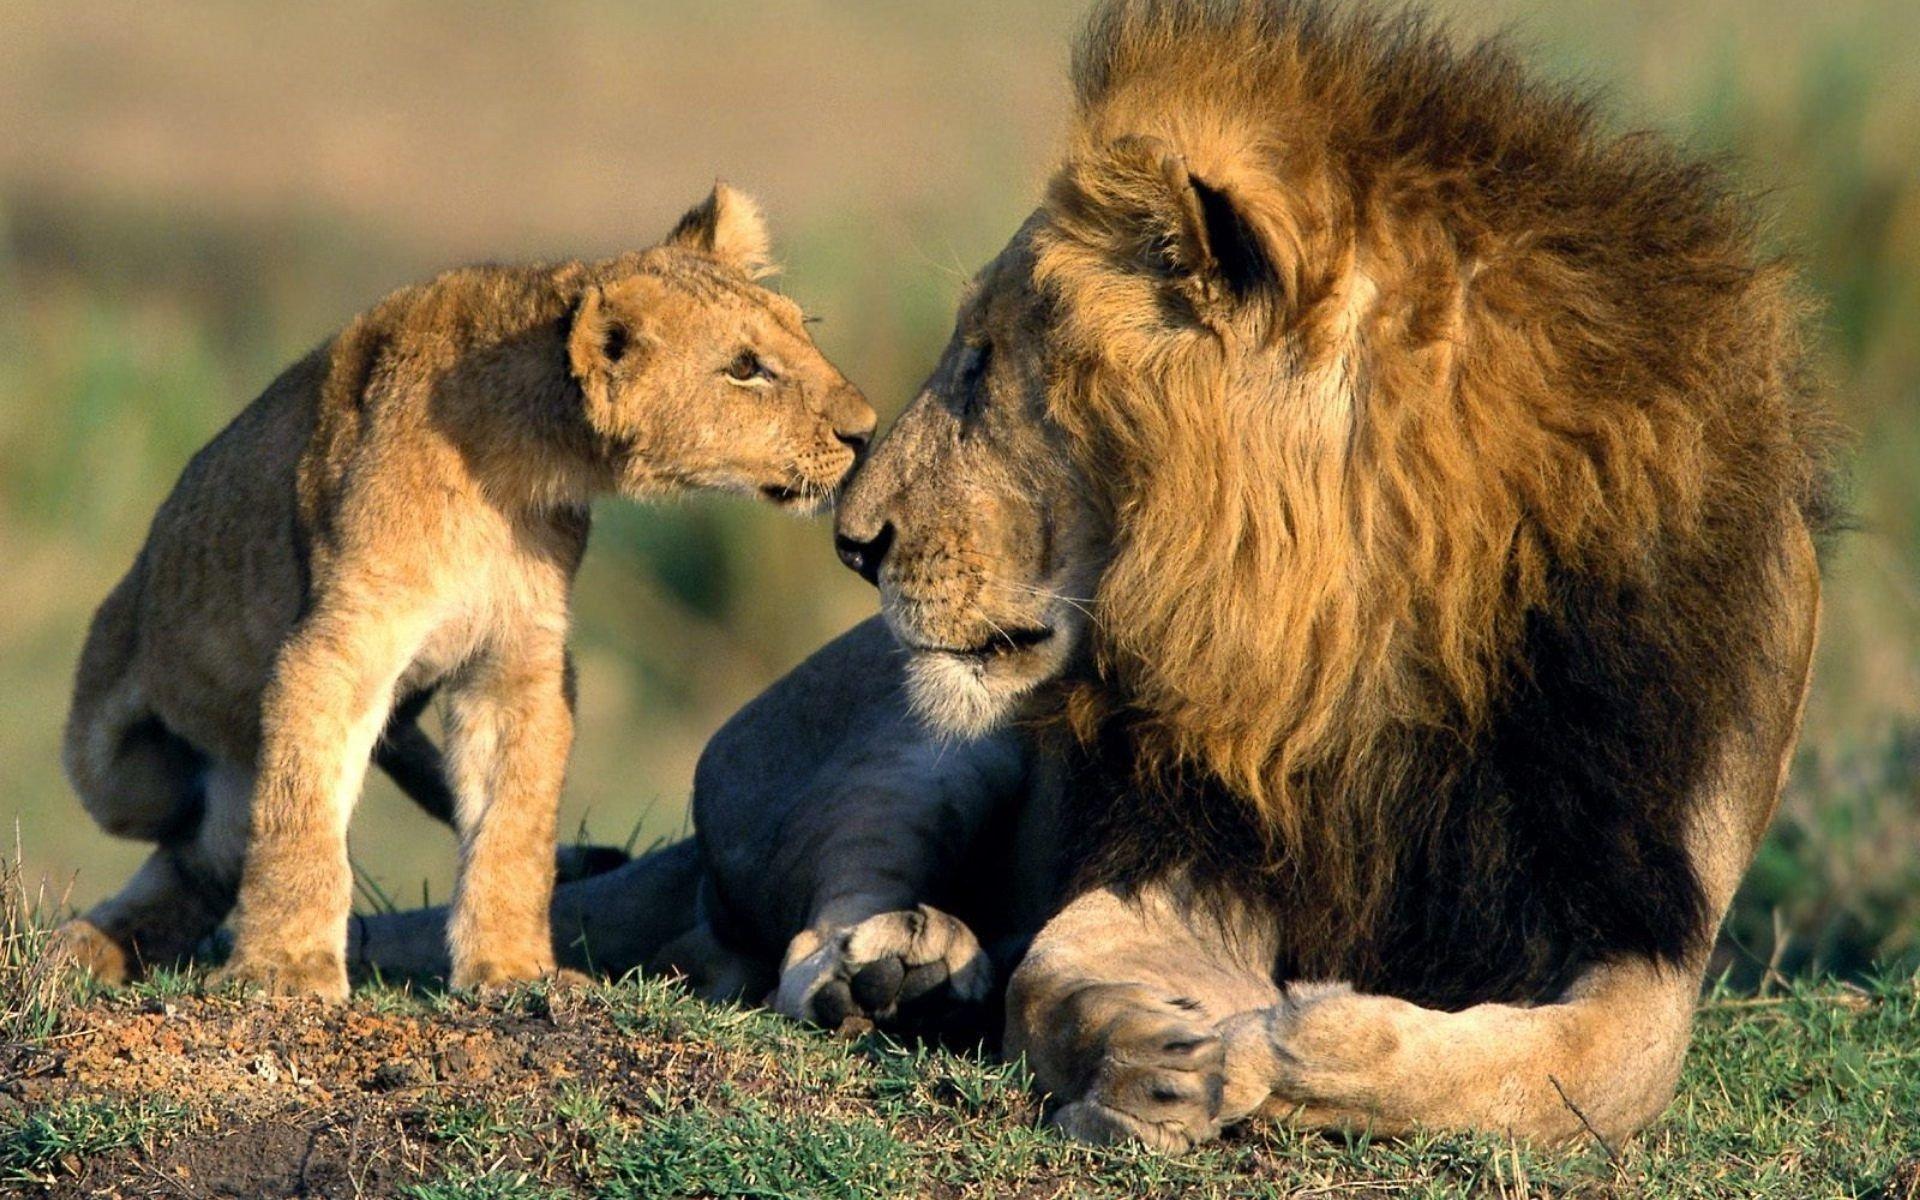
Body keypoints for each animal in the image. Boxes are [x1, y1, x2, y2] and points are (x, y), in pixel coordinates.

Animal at [52, 184, 876, 1001]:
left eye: (803, 332)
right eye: (745, 368)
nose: (866, 432)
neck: (517, 466)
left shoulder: (518, 662)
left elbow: (513, 825)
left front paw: (511, 968)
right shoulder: (336, 646)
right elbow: (299, 812)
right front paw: (286, 967)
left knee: (207, 856)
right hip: (116, 767)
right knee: (190, 833)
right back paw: (83, 945)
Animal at [353, 0, 1840, 1149]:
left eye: (984, 367)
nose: (852, 540)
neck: (1374, 639)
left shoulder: (1650, 912)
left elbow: (1602, 1068)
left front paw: (1302, 1046)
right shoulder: (1176, 843)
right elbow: (1066, 970)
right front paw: (1161, 1048)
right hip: (908, 730)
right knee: (801, 920)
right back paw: (900, 972)